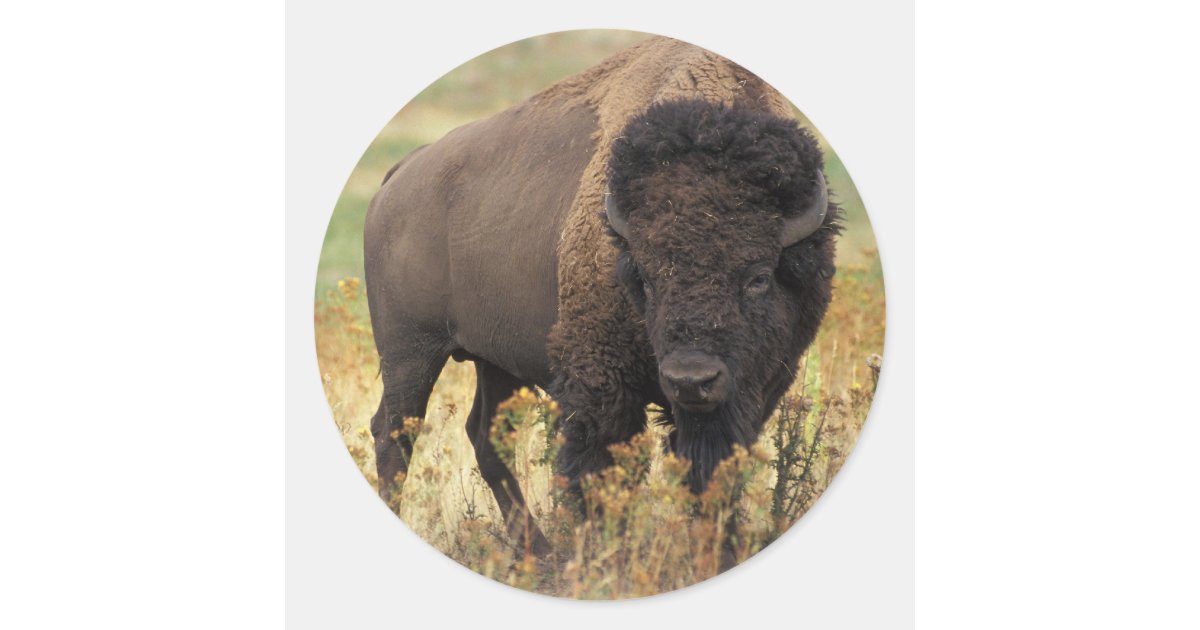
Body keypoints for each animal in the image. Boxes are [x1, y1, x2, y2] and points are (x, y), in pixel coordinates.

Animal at [364, 36, 838, 553]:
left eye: (758, 277)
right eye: (645, 278)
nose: (691, 380)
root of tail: (399, 175)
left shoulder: (754, 389)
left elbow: (713, 471)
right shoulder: (600, 385)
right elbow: (600, 472)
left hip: (493, 359)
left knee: (485, 436)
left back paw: (538, 551)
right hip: (410, 351)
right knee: (394, 433)